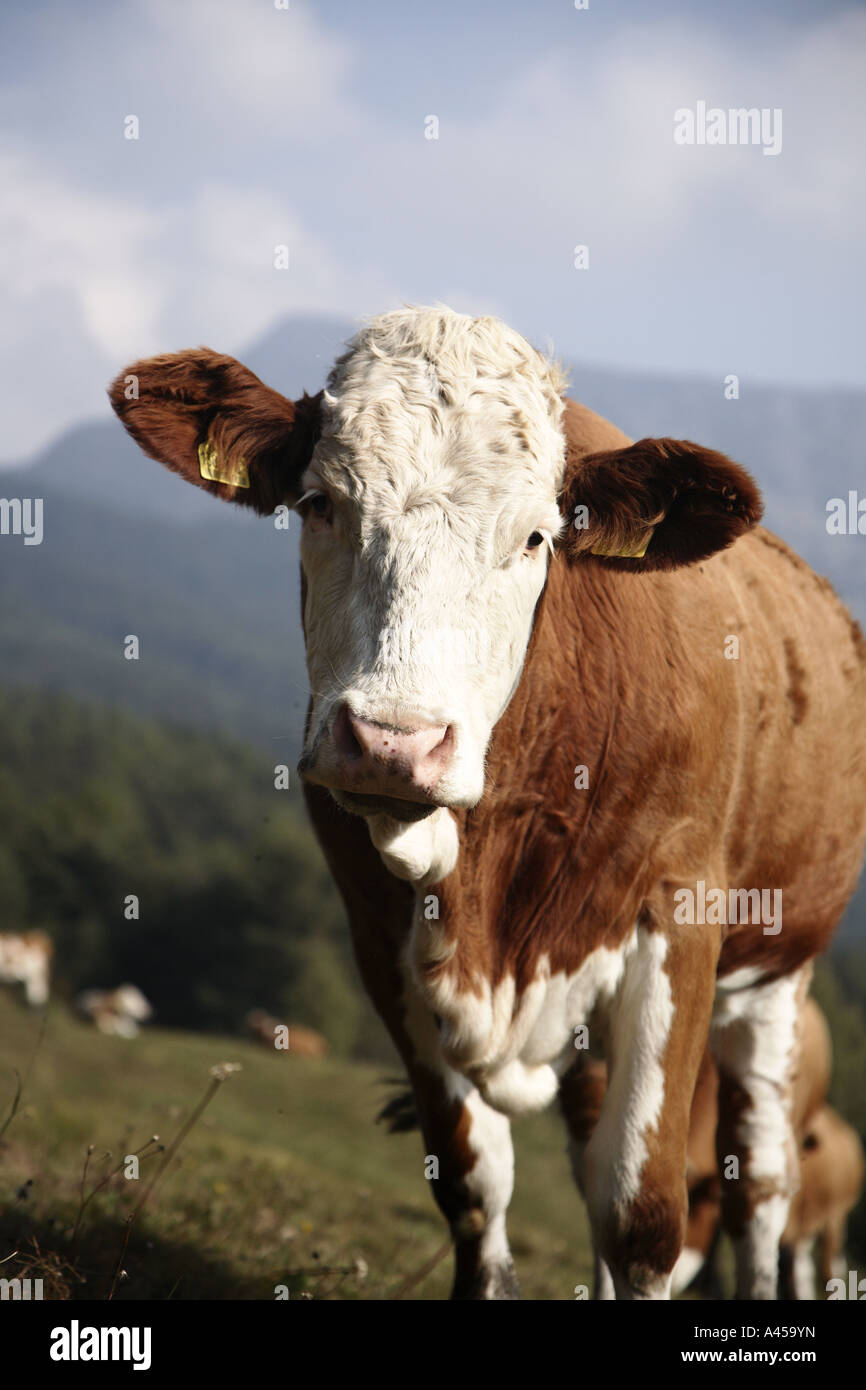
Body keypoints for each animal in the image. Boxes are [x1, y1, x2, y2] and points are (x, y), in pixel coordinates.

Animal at [109, 306, 866, 1300]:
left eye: (537, 539)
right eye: (320, 505)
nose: (392, 740)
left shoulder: (680, 916)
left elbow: (642, 1214)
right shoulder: (380, 935)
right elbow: (474, 1184)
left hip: (778, 977)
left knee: (761, 1190)